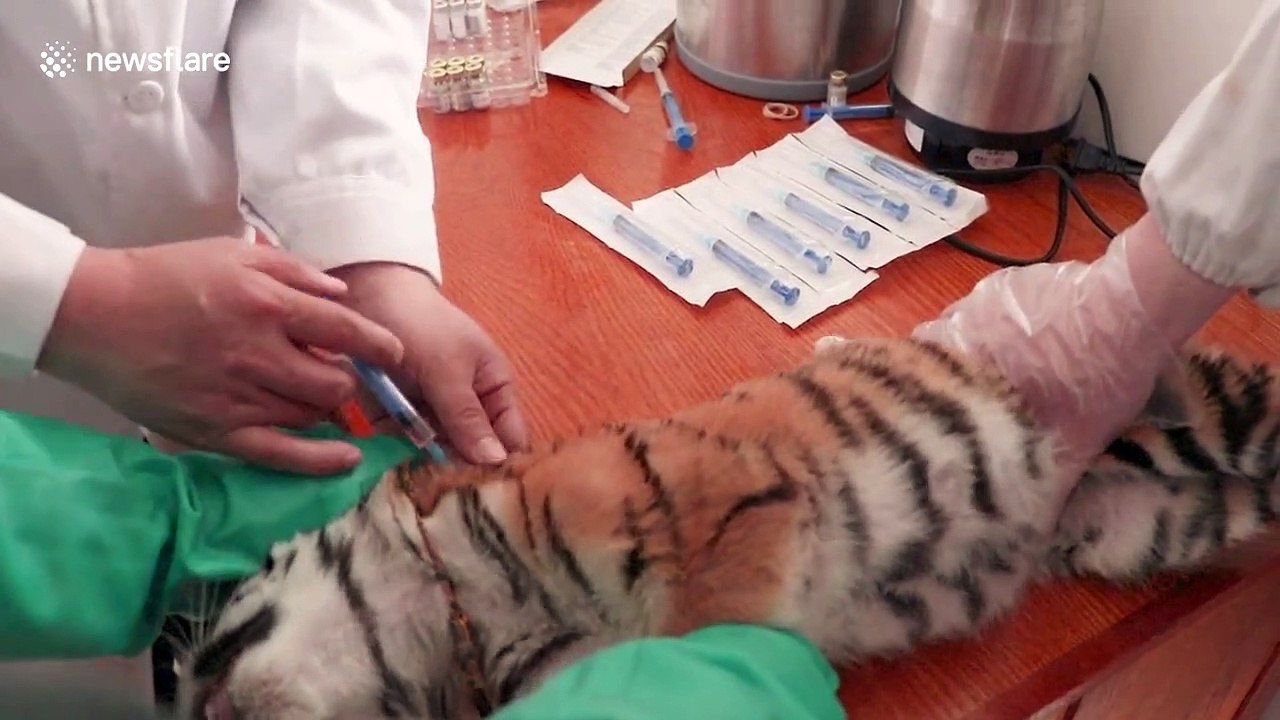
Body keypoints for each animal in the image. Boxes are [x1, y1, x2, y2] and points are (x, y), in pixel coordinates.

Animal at [175, 335, 1280, 719]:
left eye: (226, 594)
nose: (174, 683)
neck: (461, 622)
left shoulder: (732, 503)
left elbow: (710, 622)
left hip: (1212, 413)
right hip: (1153, 524)